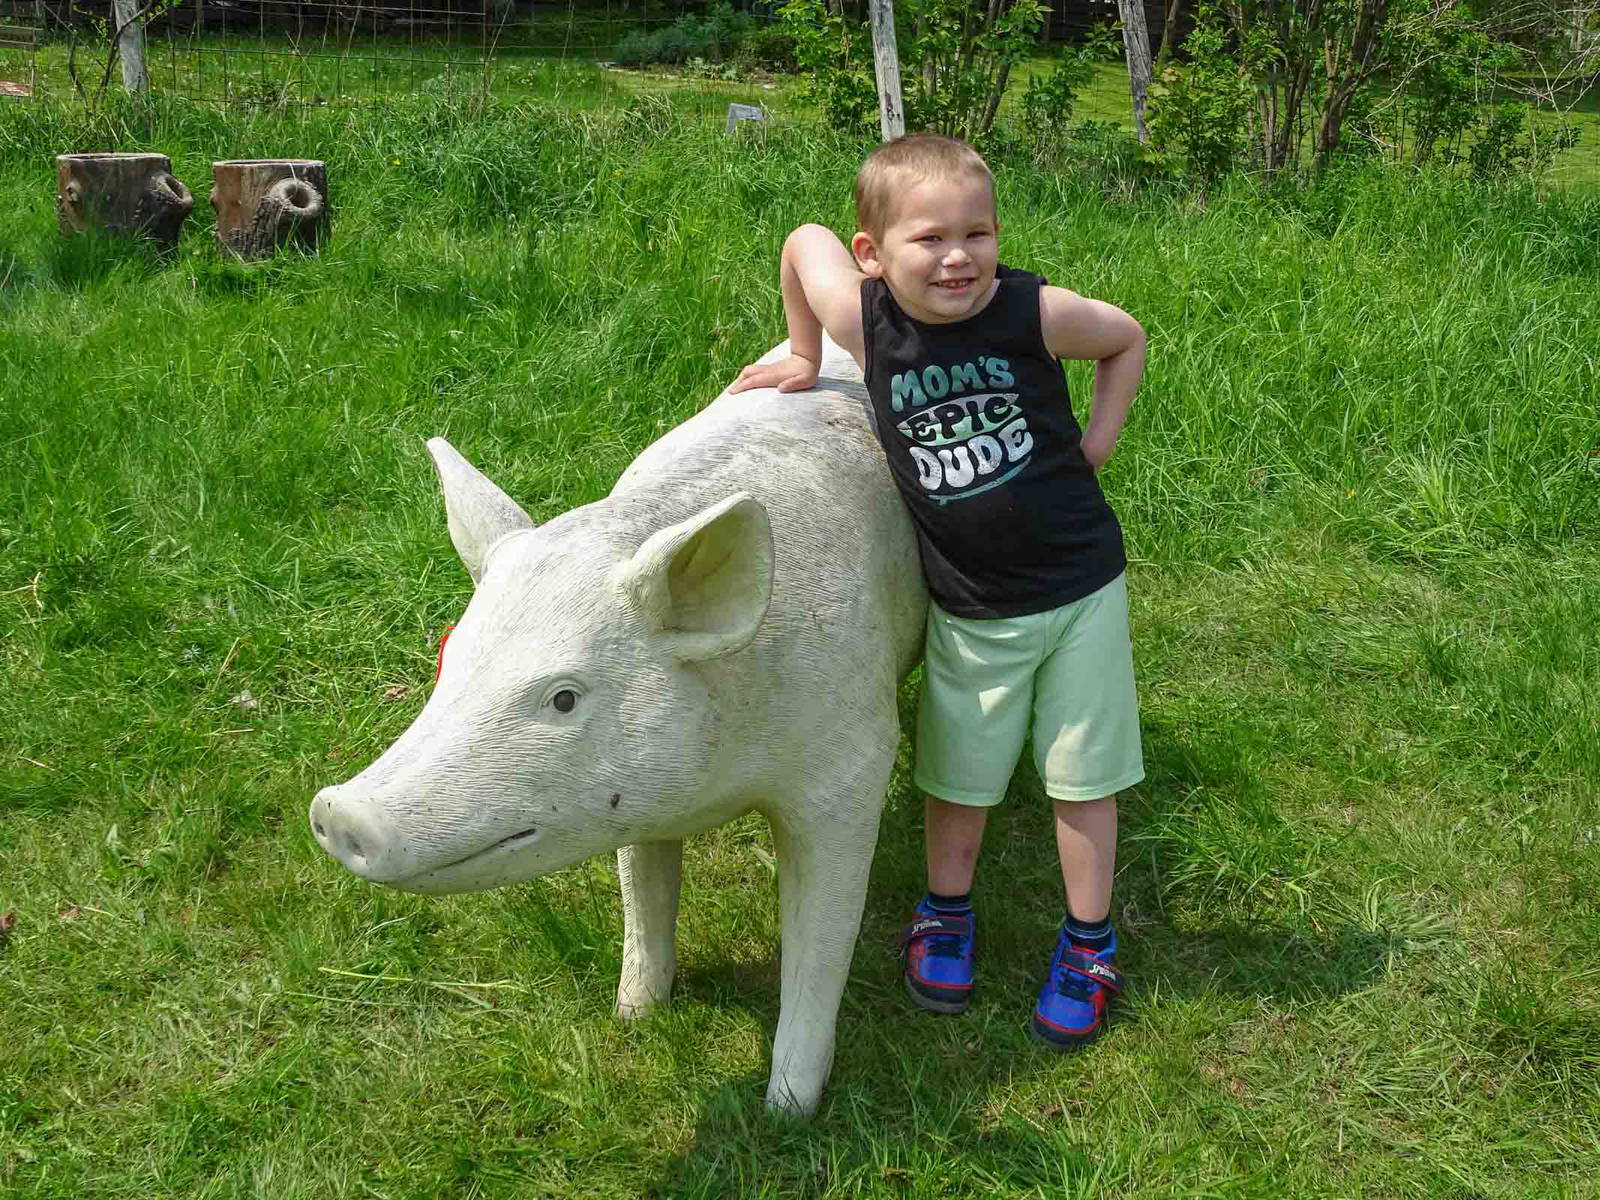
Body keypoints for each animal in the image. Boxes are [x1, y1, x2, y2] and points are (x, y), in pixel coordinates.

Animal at [309, 337, 926, 1116]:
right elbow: (644, 887)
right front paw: (634, 1014)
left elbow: (823, 931)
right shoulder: (634, 798)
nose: (337, 810)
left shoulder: (851, 761)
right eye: (449, 659)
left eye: (564, 699)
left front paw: (787, 1109)